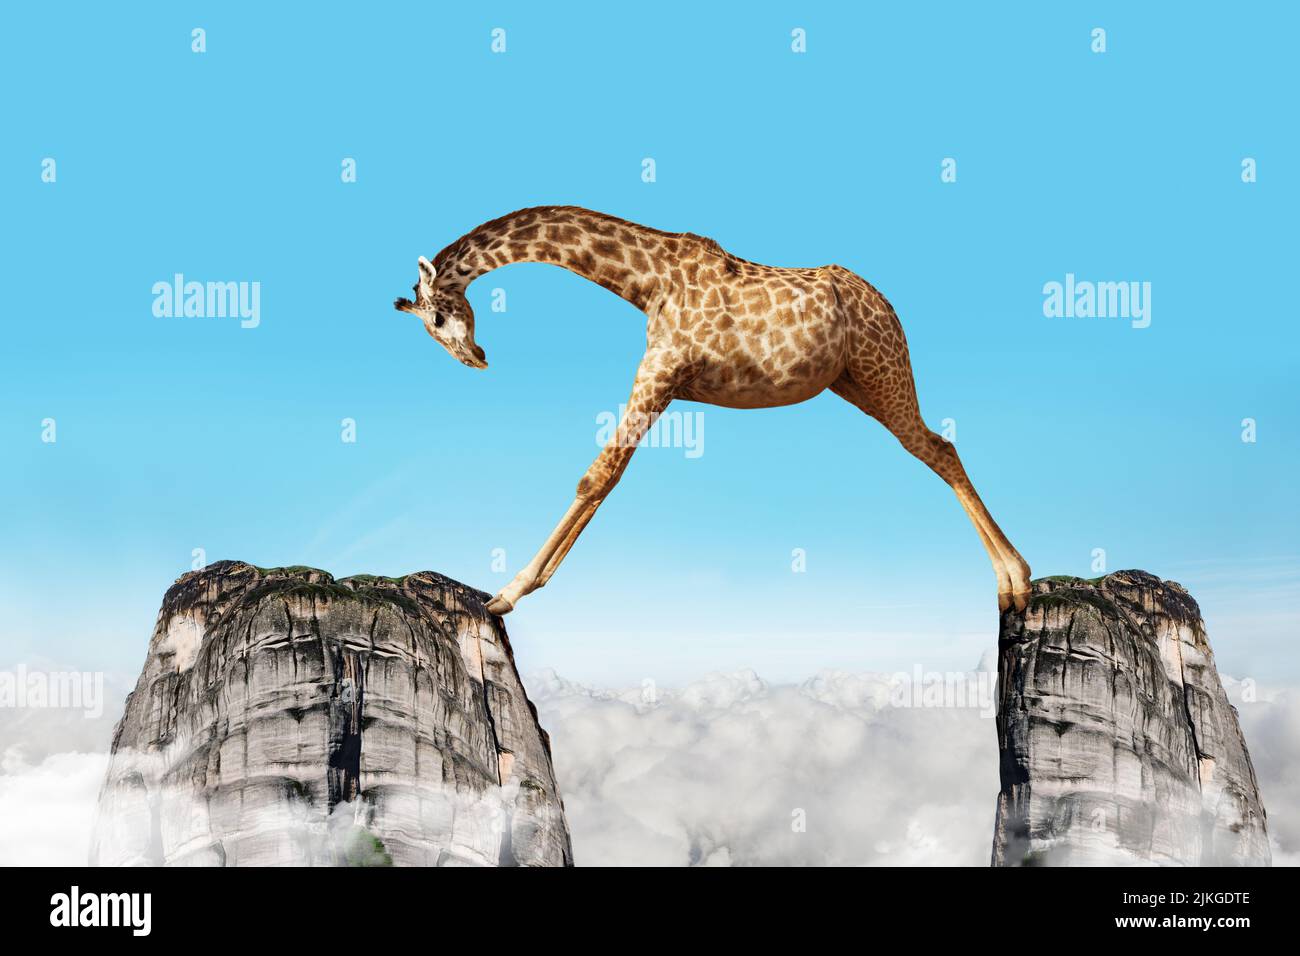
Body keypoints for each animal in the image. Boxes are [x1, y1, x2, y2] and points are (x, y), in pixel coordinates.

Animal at [393, 206, 1031, 615]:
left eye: (437, 317)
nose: (475, 358)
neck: (645, 280)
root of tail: (888, 305)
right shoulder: (665, 382)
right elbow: (608, 477)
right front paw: (533, 583)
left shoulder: (660, 371)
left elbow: (596, 475)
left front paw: (508, 592)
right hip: (856, 384)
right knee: (939, 448)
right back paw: (1010, 581)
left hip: (884, 373)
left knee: (939, 448)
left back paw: (1016, 582)